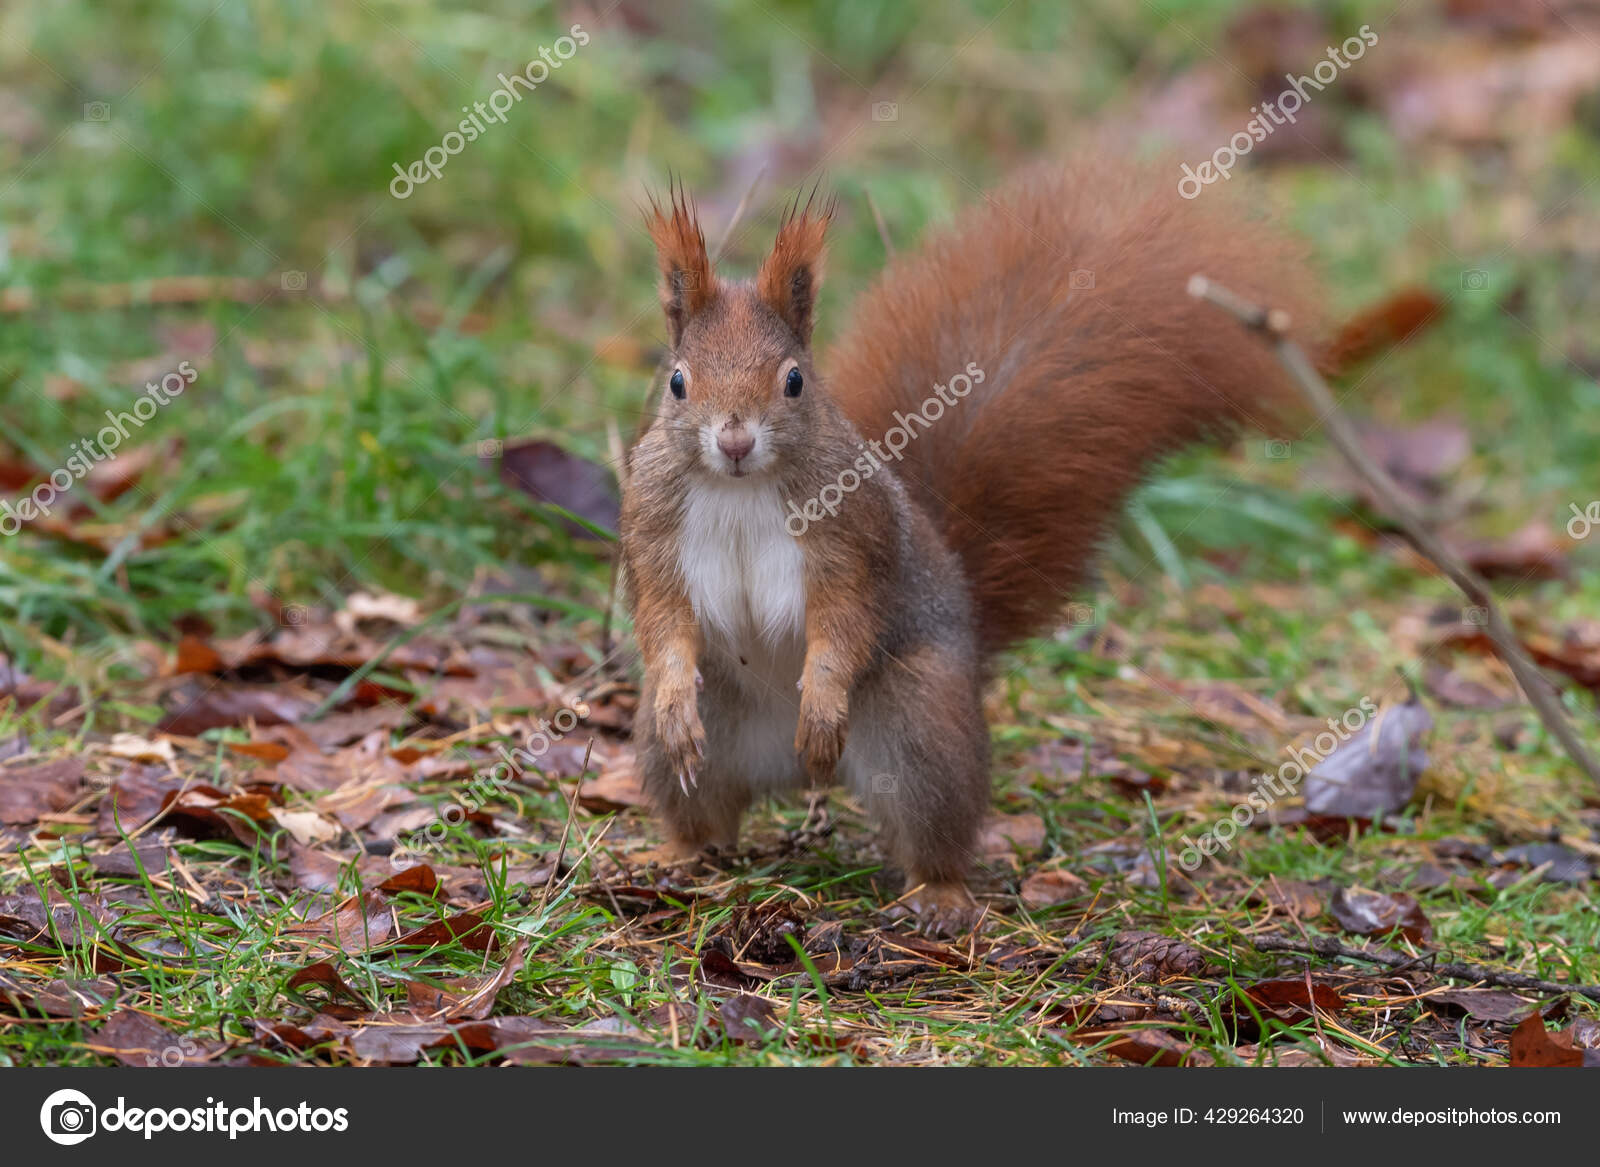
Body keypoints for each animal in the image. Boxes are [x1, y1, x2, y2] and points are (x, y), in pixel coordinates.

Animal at [620, 160, 1315, 932]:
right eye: (677, 381)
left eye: (795, 381)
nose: (735, 440)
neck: (741, 487)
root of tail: (793, 772)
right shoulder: (650, 532)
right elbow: (663, 623)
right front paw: (676, 694)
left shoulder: (854, 540)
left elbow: (844, 621)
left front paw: (824, 703)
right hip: (700, 728)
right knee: (702, 810)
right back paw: (674, 854)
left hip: (923, 722)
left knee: (935, 827)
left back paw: (936, 894)